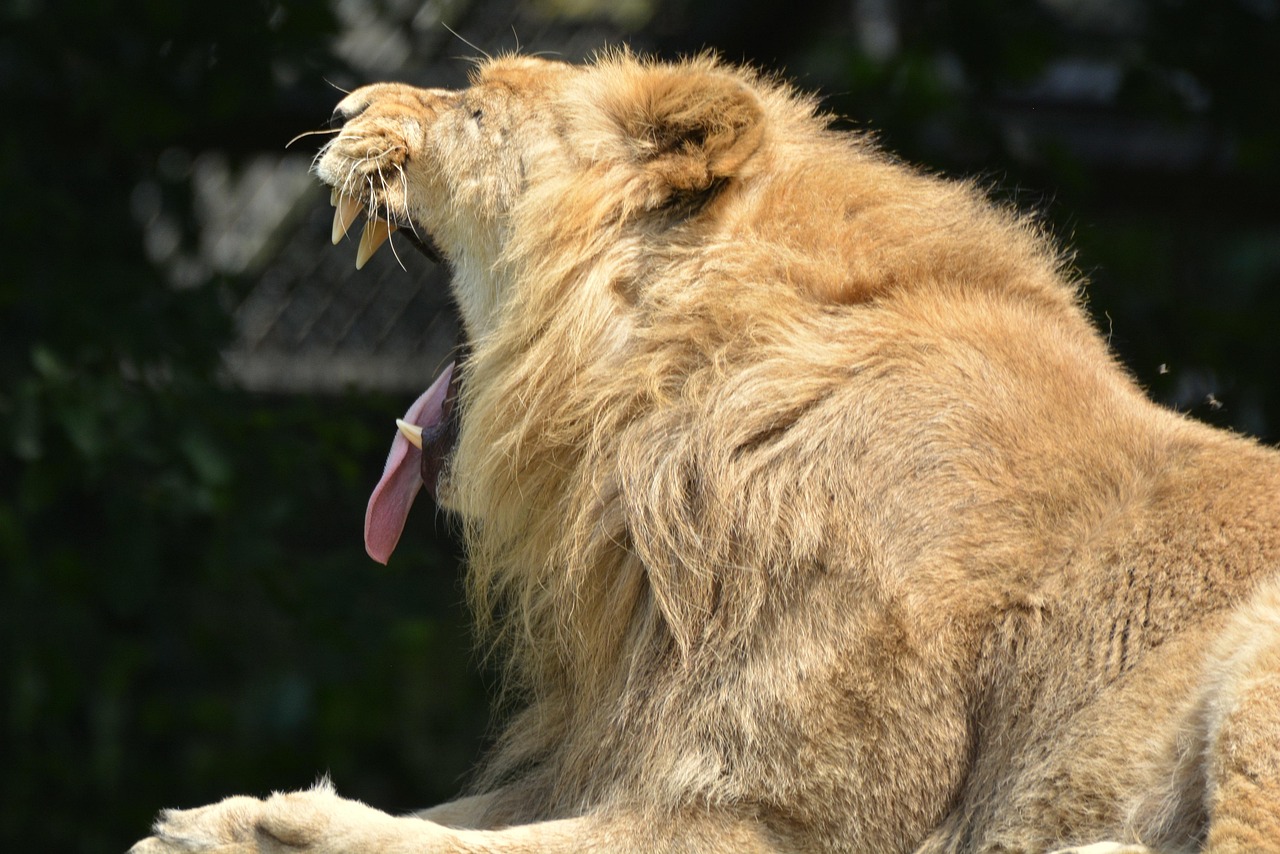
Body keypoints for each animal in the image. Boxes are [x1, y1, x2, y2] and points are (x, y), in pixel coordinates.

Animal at [130, 51, 1280, 854]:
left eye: (478, 112)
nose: (342, 111)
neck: (654, 431)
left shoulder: (778, 817)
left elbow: (477, 844)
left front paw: (276, 824)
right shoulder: (625, 748)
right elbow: (464, 812)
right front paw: (214, 819)